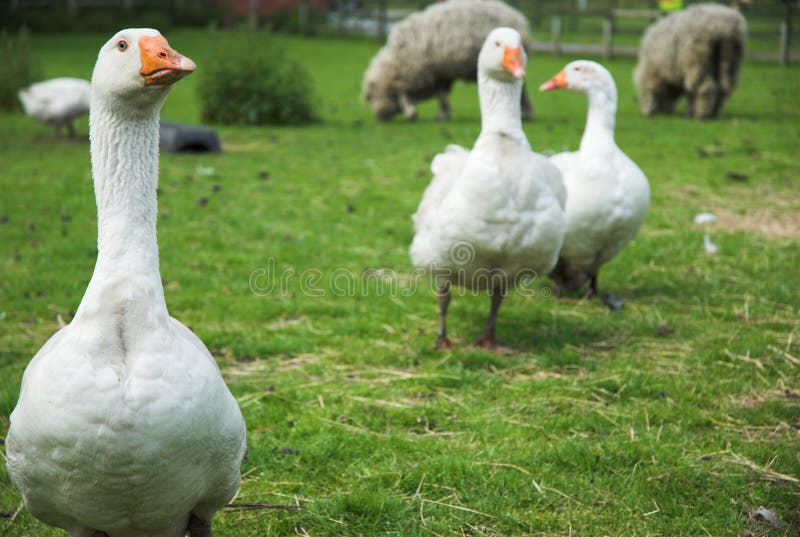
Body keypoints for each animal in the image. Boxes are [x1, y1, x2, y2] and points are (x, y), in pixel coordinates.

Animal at [361, 0, 533, 121]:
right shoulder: (437, 73)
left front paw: (433, 114)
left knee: (523, 90)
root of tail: (520, 20)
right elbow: (436, 93)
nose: (379, 117)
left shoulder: (431, 71)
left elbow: (438, 94)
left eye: (371, 95)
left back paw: (526, 114)